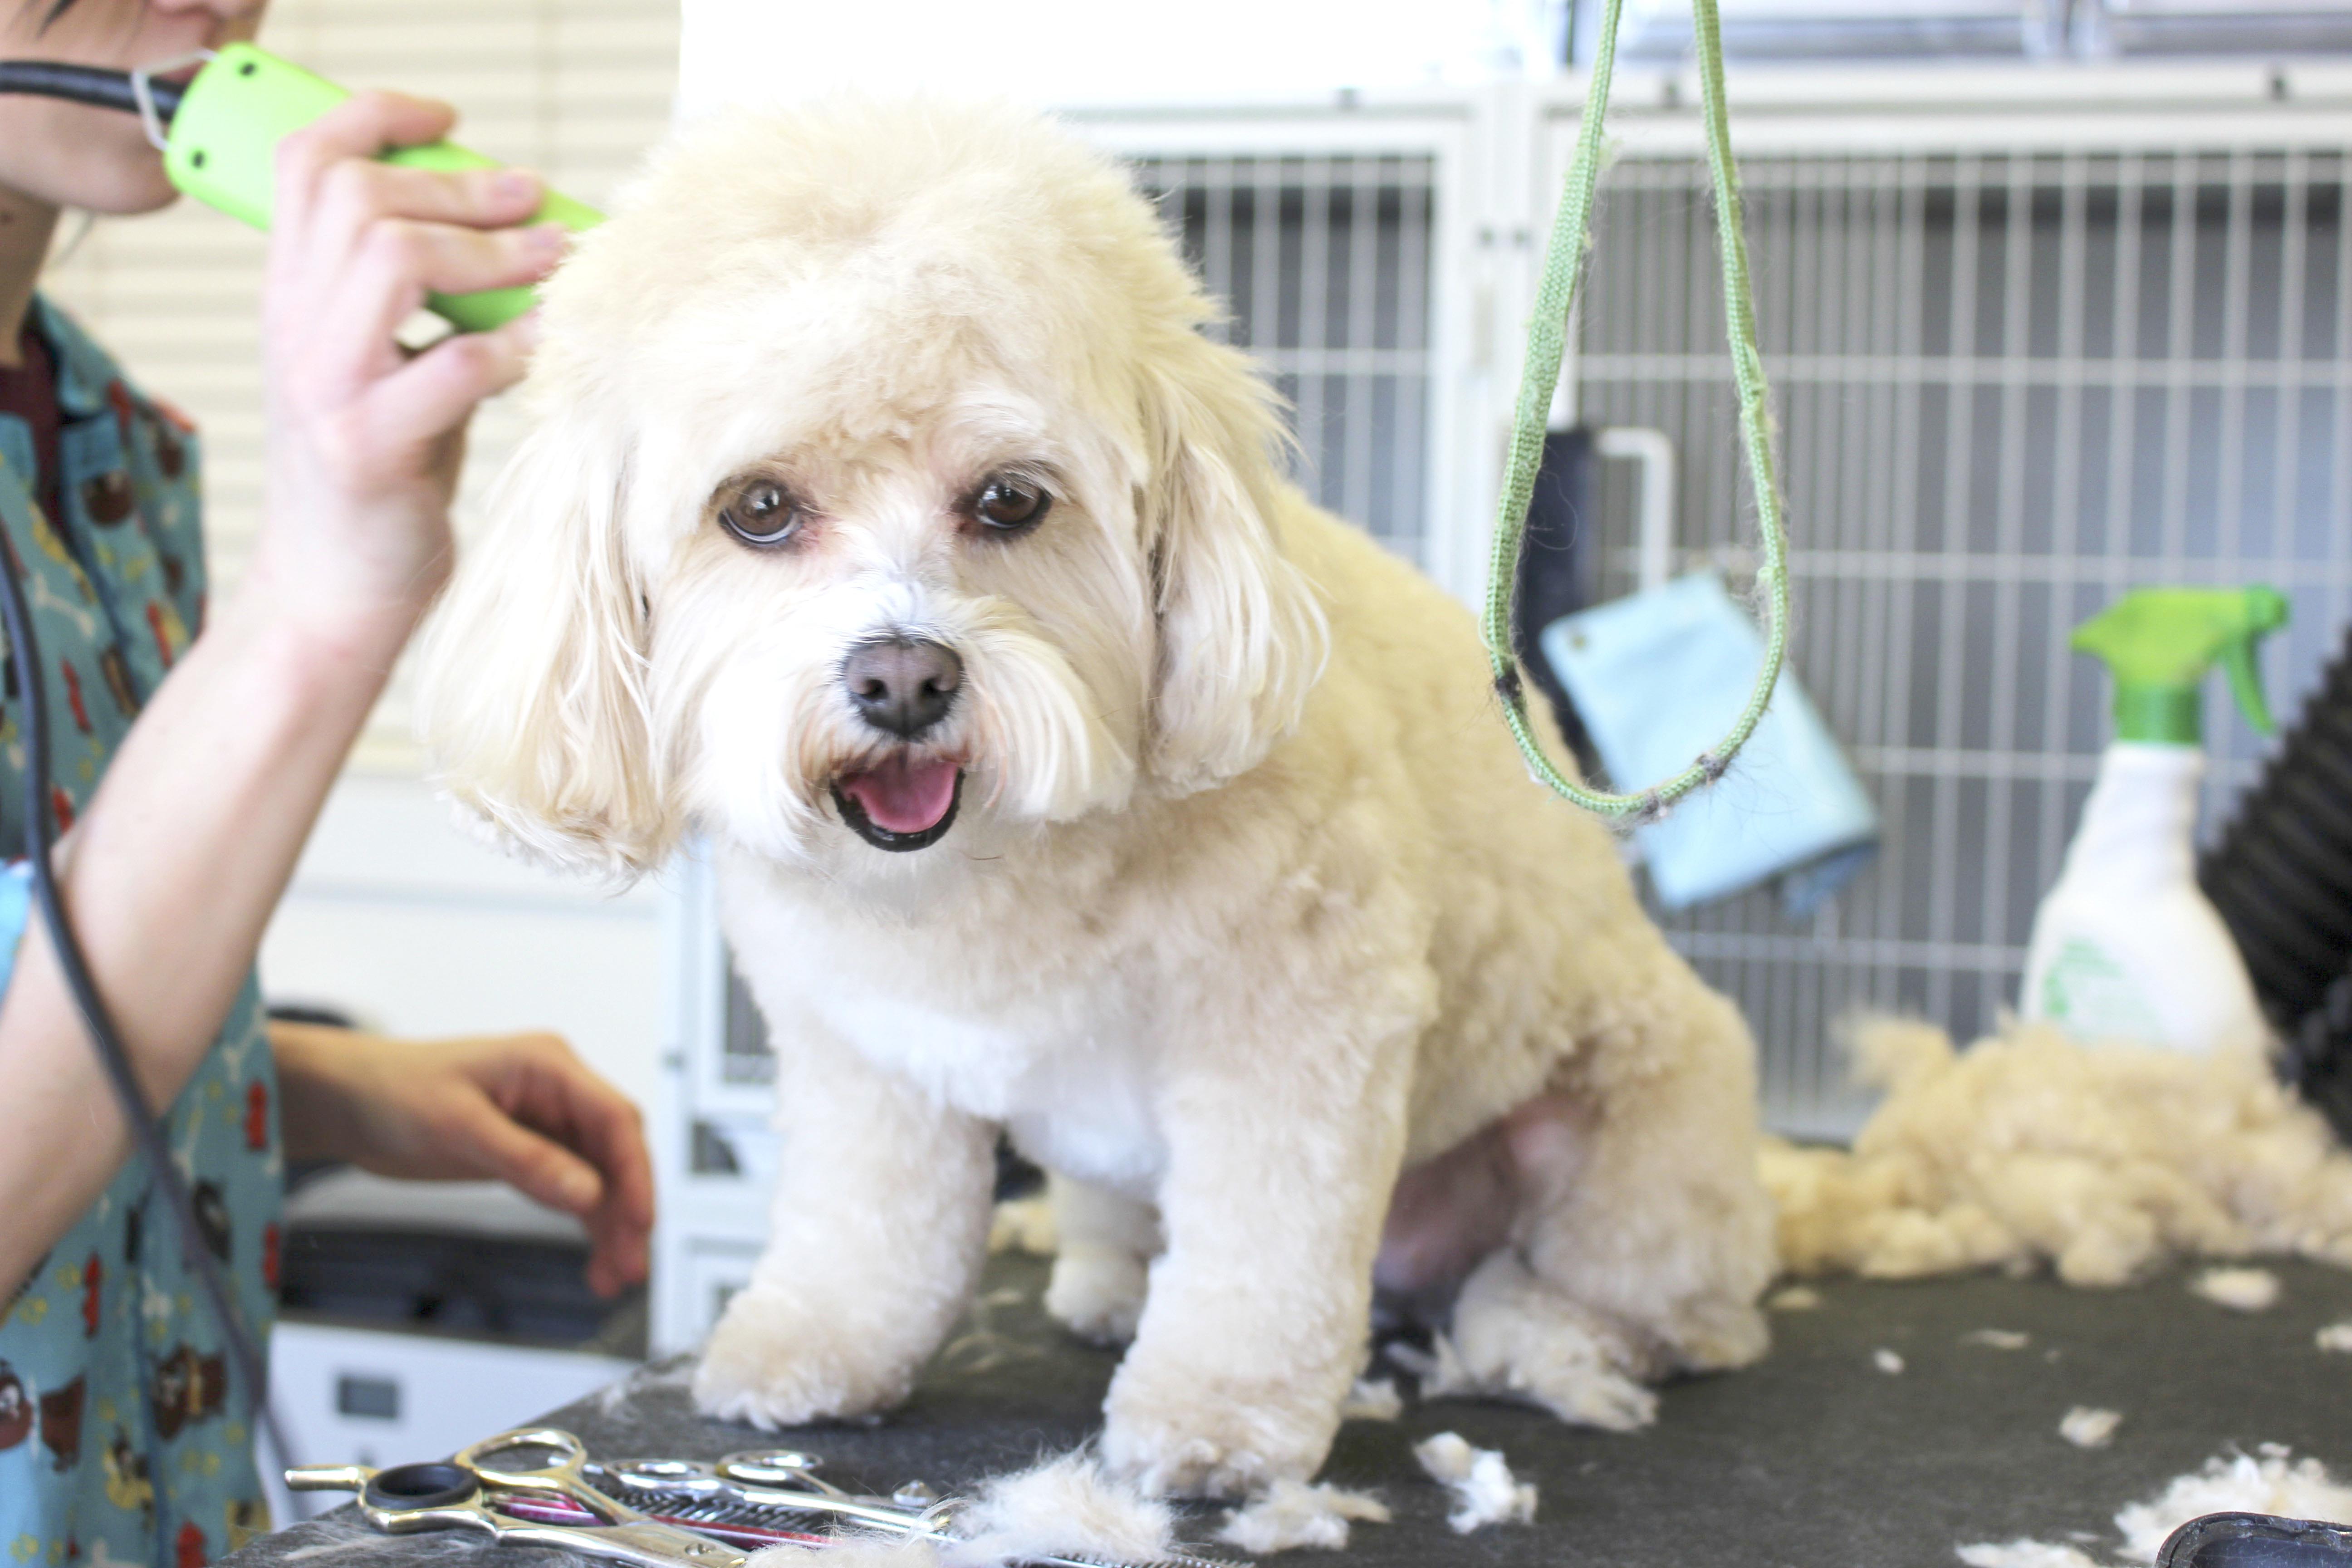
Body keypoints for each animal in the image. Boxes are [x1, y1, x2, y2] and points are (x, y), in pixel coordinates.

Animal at [423, 95, 1769, 1495]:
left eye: (1009, 499)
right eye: (759, 509)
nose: (903, 680)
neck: (980, 877)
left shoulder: (1297, 1034)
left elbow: (1260, 1255)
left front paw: (1221, 1418)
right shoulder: (861, 1052)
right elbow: (869, 1227)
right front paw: (813, 1346)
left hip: (1633, 1139)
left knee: (1676, 1307)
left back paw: (1545, 1332)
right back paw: (1113, 1283)